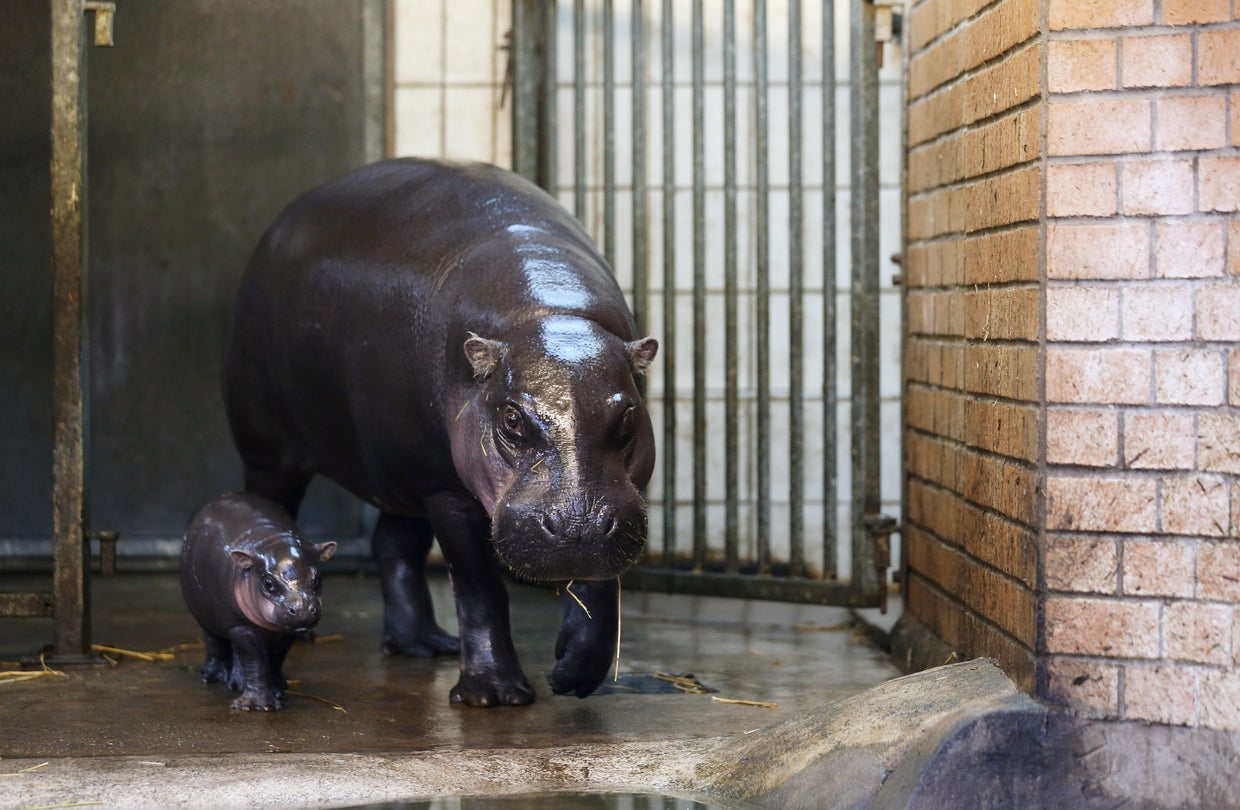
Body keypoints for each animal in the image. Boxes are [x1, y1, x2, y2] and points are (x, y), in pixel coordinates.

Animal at [181, 492, 337, 711]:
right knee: (215, 643)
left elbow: (275, 657)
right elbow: (255, 661)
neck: (271, 541)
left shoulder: (287, 629)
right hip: (206, 617)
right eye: (268, 583)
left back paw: (236, 682)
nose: (303, 609)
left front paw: (278, 689)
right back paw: (214, 677)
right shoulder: (240, 626)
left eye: (318, 578)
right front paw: (257, 705)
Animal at [222, 158, 657, 706]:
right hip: (275, 450)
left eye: (628, 417)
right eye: (511, 419)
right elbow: (479, 588)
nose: (577, 525)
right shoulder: (446, 489)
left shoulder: (624, 497)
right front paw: (493, 695)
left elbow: (602, 588)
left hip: (398, 466)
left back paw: (424, 645)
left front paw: (574, 677)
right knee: (273, 501)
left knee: (393, 545)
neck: (548, 317)